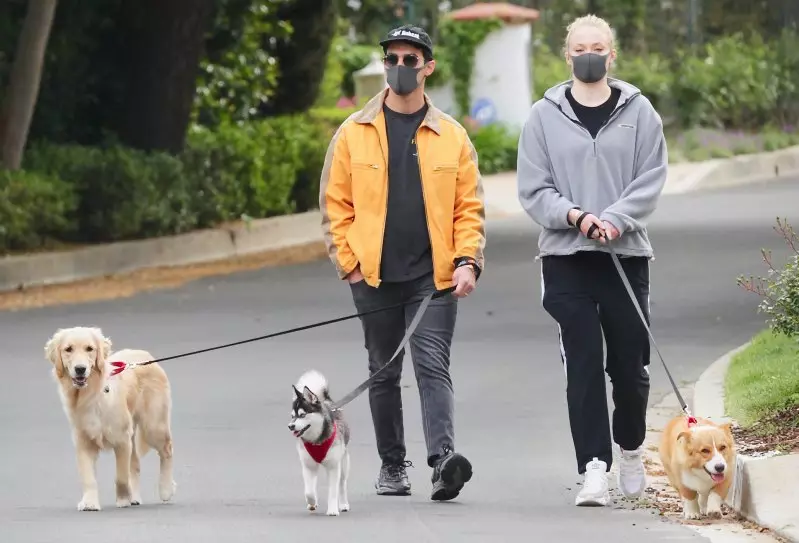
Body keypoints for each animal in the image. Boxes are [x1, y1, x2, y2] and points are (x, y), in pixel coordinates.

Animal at [288, 370, 350, 520]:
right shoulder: (308, 466)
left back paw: (343, 504)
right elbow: (309, 491)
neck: (316, 440)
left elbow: (333, 491)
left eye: (302, 415)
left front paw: (332, 509)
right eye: (292, 416)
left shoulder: (334, 467)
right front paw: (312, 502)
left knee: (342, 484)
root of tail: (326, 401)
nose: (290, 426)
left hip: (344, 463)